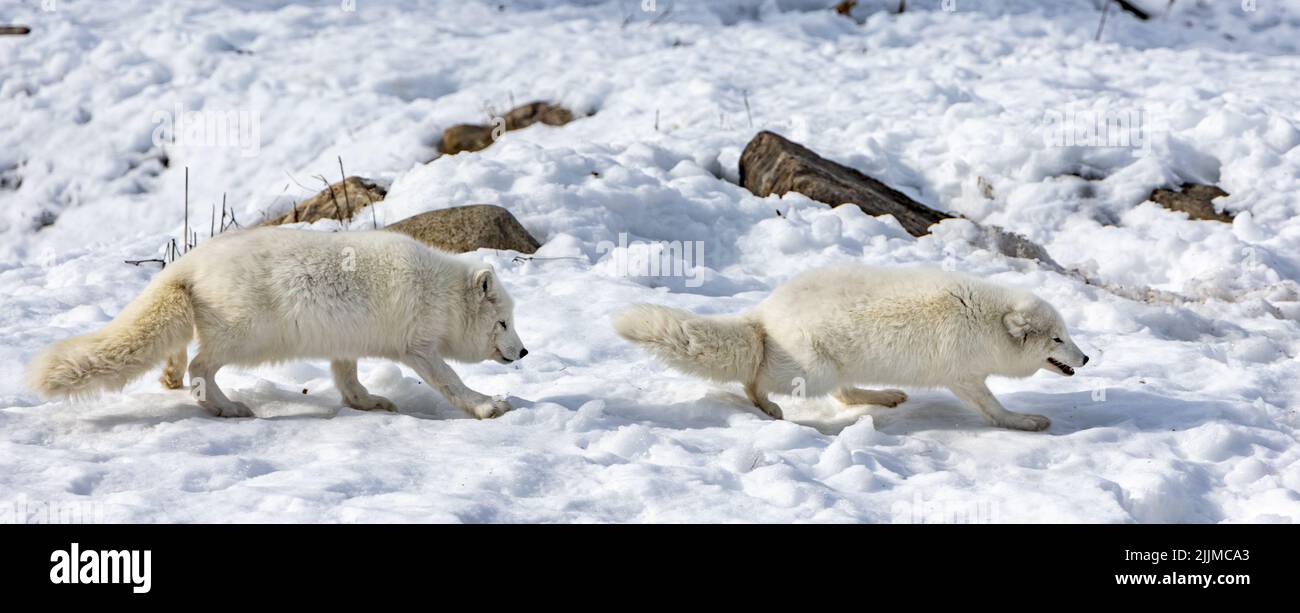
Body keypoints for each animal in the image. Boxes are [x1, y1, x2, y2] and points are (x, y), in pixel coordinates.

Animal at [26, 227, 527, 419]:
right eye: (503, 323)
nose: (523, 351)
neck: (440, 293)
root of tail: (186, 263)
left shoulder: (345, 345)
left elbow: (348, 380)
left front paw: (367, 403)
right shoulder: (418, 347)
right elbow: (450, 381)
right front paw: (487, 405)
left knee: (179, 359)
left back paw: (172, 376)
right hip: (243, 338)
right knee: (200, 370)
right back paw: (226, 408)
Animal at [613, 265, 1089, 431]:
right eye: (1057, 338)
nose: (1086, 358)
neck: (983, 320)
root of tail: (764, 311)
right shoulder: (963, 376)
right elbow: (993, 409)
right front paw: (1023, 421)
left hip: (836, 368)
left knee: (844, 394)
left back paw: (885, 396)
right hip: (810, 372)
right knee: (755, 379)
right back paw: (767, 408)